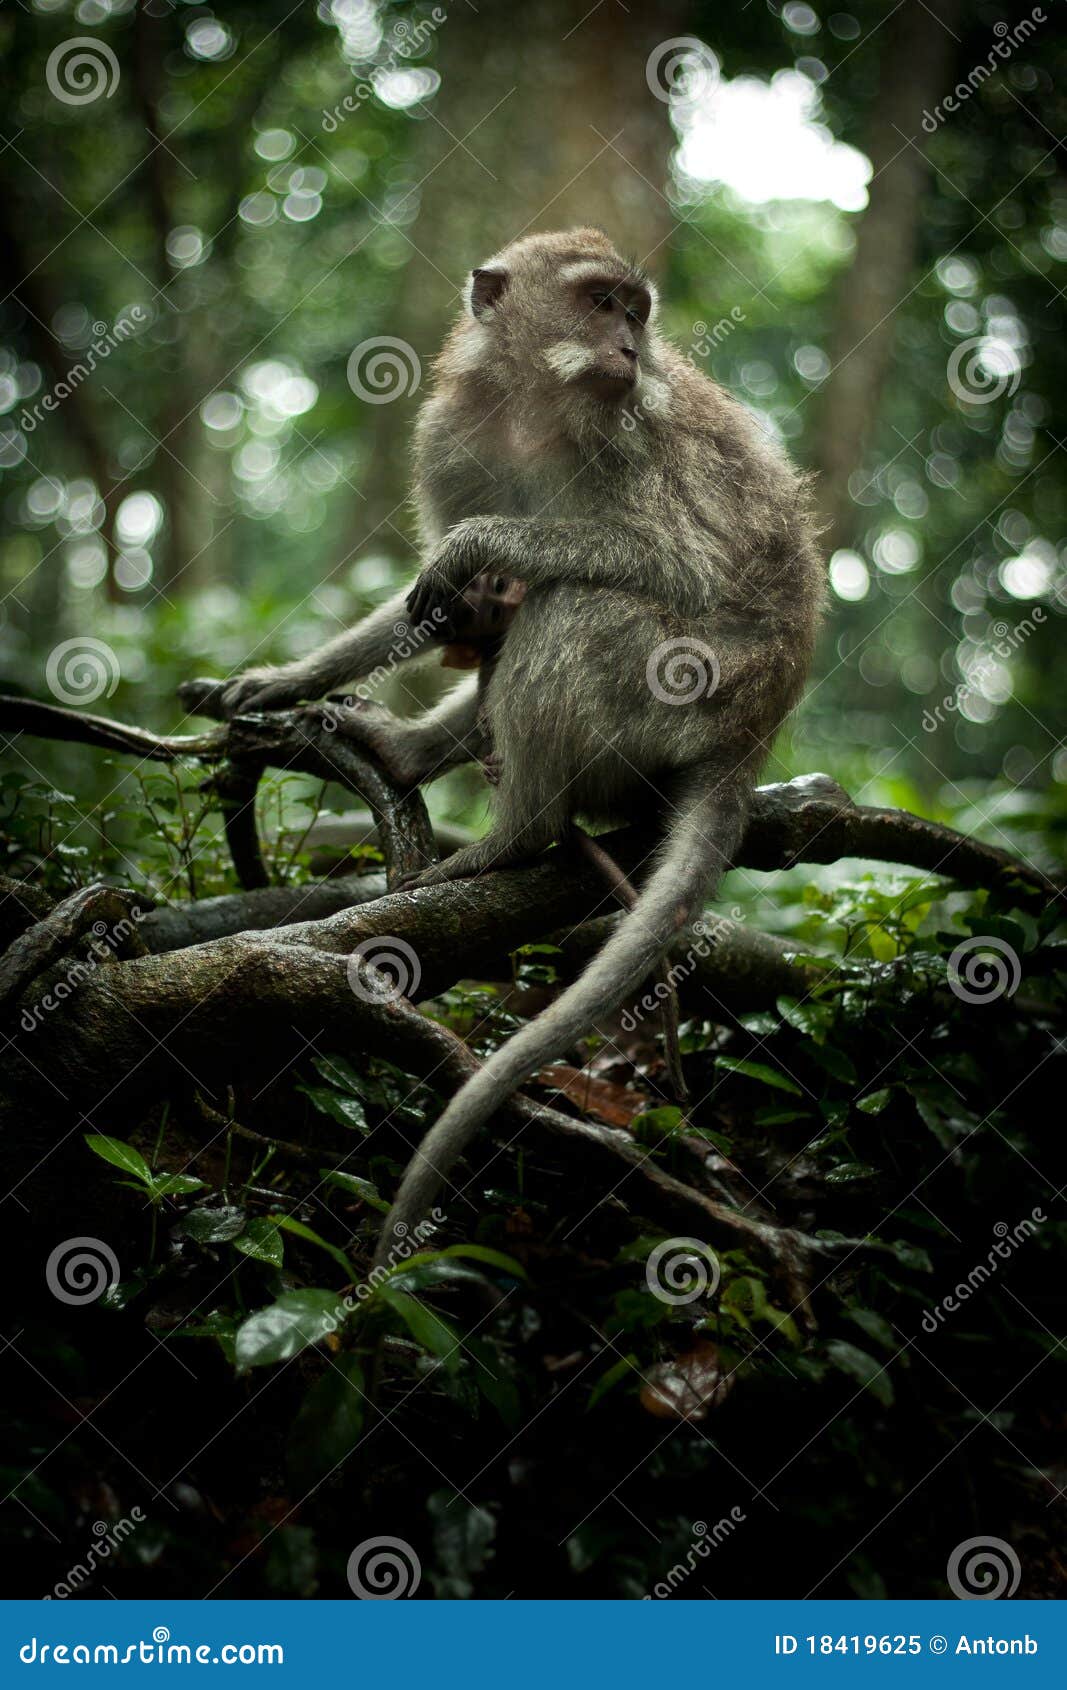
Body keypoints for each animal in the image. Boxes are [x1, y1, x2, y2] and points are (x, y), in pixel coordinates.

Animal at [214, 227, 825, 1264]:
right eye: (600, 302)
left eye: (635, 309)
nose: (629, 349)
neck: (535, 409)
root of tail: (750, 739)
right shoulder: (450, 436)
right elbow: (437, 610)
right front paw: (292, 679)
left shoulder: (637, 442)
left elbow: (671, 564)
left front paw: (479, 543)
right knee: (514, 625)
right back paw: (413, 758)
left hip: (690, 692)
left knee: (572, 602)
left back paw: (517, 835)